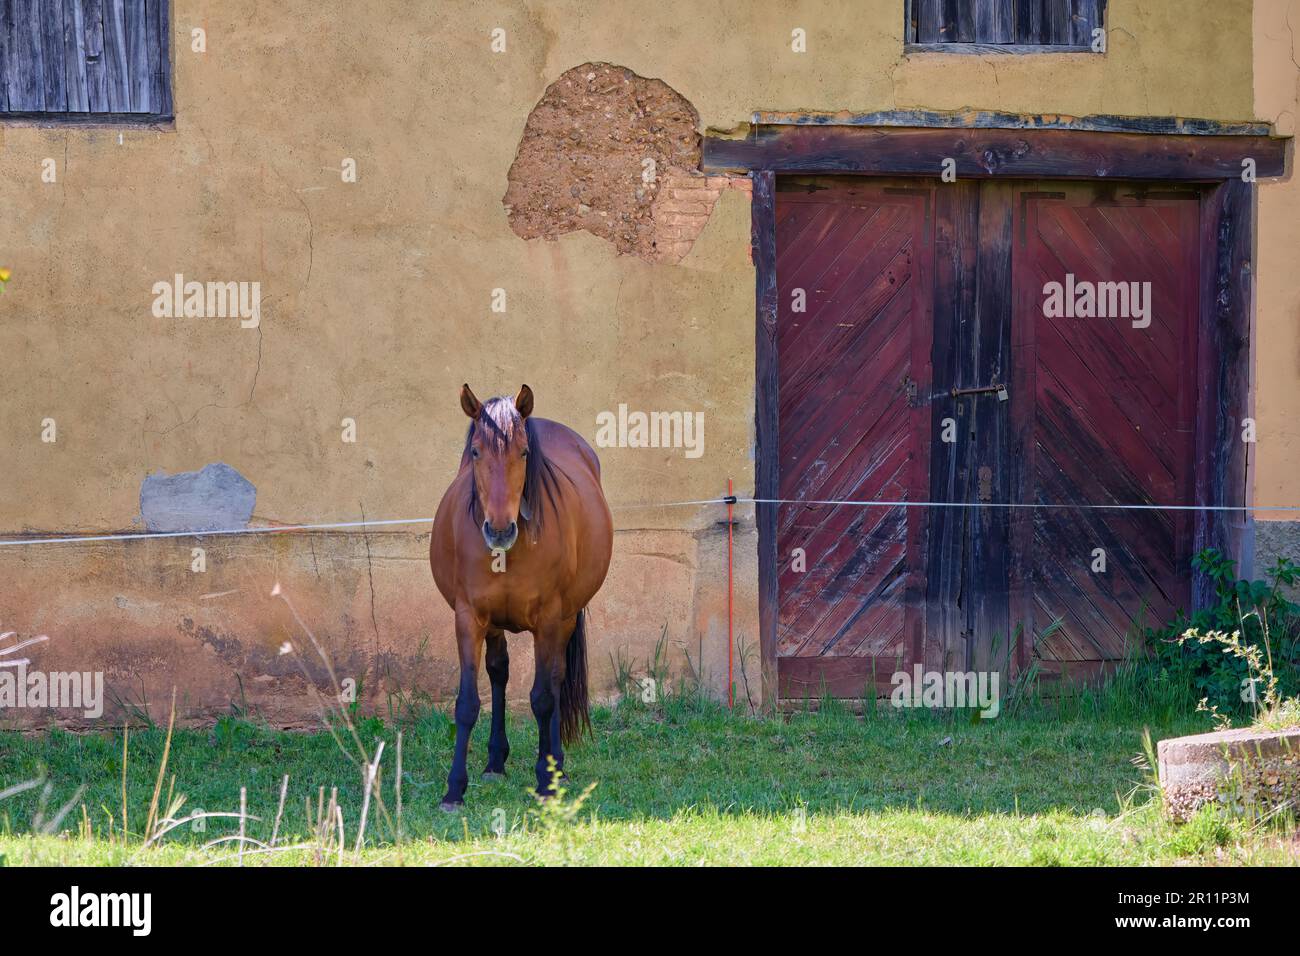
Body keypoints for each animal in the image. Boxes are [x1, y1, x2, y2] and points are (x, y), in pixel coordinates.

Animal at [430, 384, 613, 810]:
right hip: (495, 624)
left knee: (557, 679)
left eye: (524, 453)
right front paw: (454, 788)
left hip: (565, 620)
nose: (499, 530)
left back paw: (556, 765)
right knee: (499, 672)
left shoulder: (549, 619)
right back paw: (496, 761)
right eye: (475, 452)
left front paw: (546, 781)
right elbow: (467, 703)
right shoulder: (468, 618)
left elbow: (543, 698)